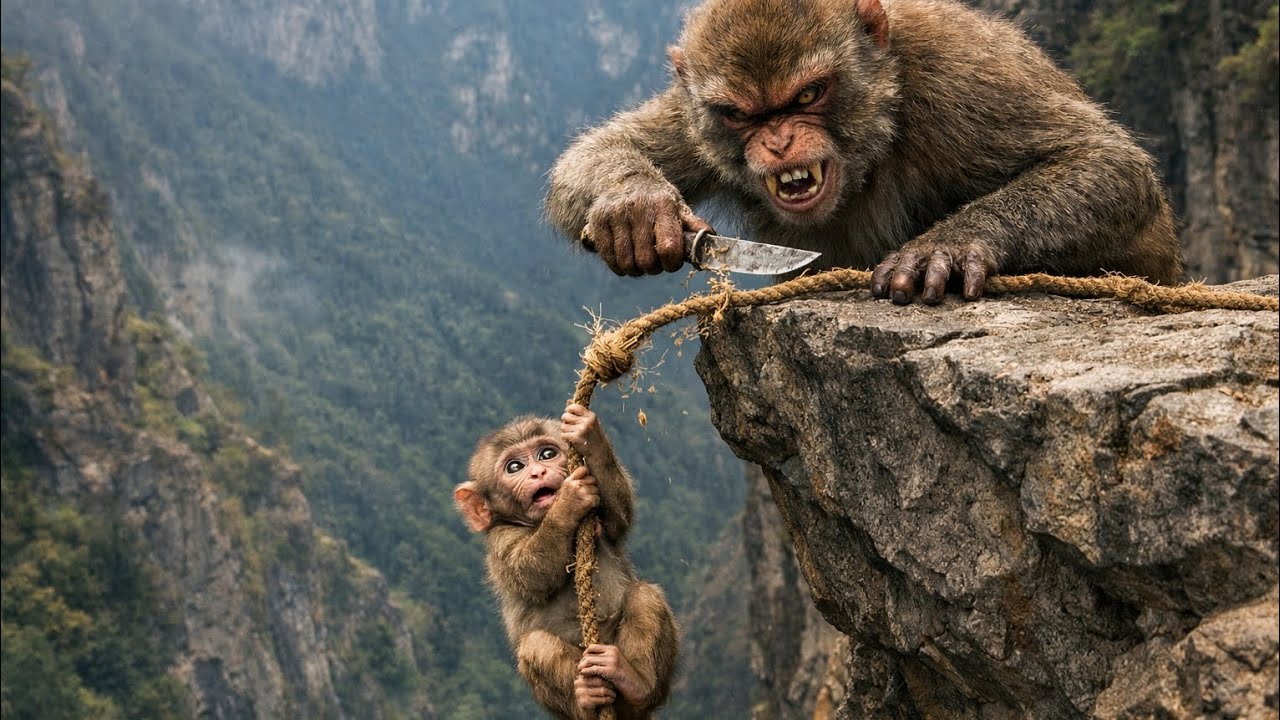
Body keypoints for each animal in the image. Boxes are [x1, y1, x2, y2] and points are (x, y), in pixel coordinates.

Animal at [454, 404, 679, 719]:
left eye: (547, 453)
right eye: (515, 467)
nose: (538, 473)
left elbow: (618, 517)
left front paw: (587, 434)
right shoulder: (500, 540)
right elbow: (531, 573)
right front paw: (568, 501)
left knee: (644, 596)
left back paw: (635, 682)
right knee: (536, 645)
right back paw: (587, 698)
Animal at [545, 0, 1185, 305]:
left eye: (808, 94)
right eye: (741, 115)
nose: (778, 141)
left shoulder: (954, 69)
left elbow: (1107, 163)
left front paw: (948, 246)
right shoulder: (697, 114)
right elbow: (603, 149)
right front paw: (636, 210)